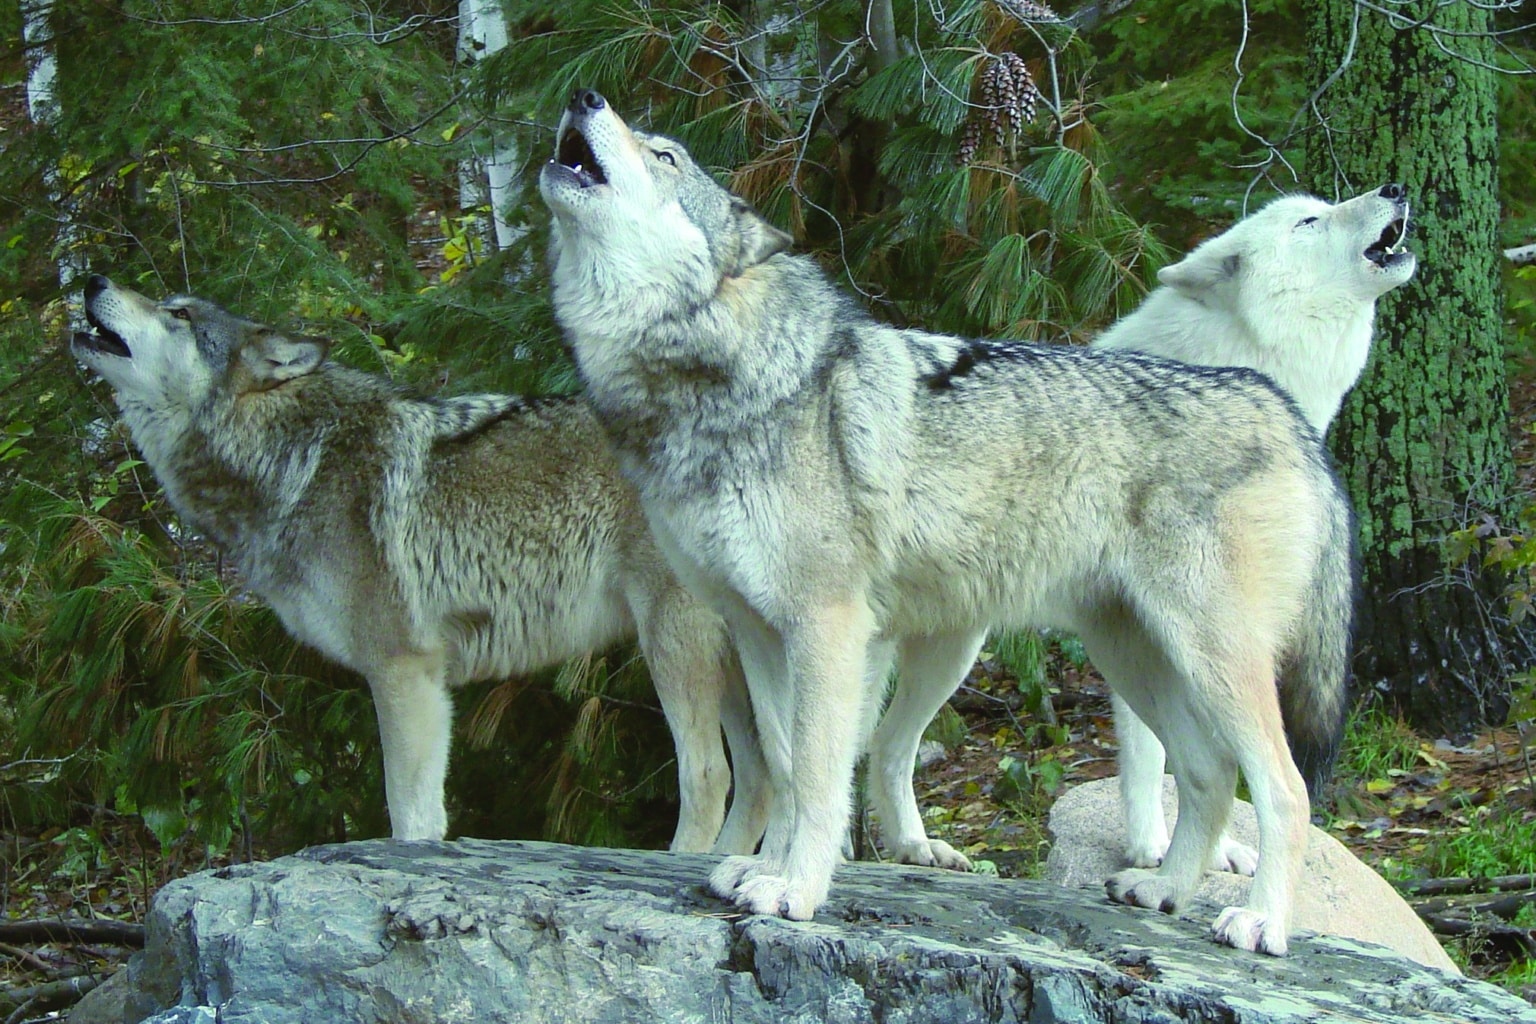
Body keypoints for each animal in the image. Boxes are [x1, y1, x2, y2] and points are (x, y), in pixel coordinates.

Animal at [71, 275, 770, 852]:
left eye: (179, 314)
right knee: (765, 776)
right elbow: (428, 818)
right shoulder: (428, 683)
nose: (91, 278)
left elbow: (406, 815)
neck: (294, 459)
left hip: (673, 642)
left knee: (711, 775)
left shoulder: (402, 669)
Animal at [538, 90, 1355, 955]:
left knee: (1284, 788)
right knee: (1207, 774)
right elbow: (789, 770)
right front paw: (762, 869)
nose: (585, 97)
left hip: (1208, 657)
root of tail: (1285, 410)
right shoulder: (758, 632)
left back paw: (1263, 922)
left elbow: (821, 775)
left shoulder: (826, 627)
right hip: (1133, 656)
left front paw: (796, 890)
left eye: (664, 156)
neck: (721, 375)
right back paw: (1162, 889)